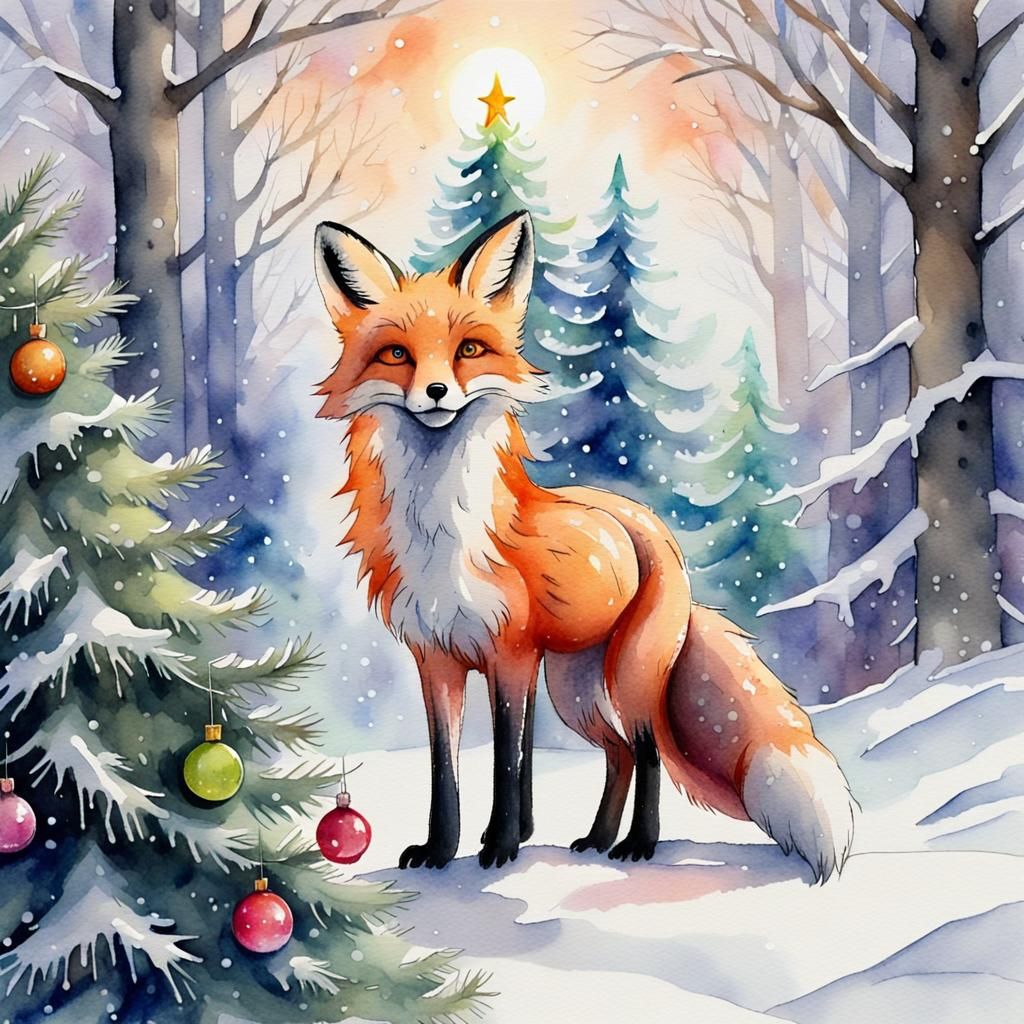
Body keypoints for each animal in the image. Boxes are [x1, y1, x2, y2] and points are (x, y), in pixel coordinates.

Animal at [313, 209, 855, 879]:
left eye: (468, 350)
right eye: (396, 355)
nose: (436, 392)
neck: (443, 535)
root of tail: (648, 522)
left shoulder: (511, 655)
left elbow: (507, 760)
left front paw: (501, 846)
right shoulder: (436, 658)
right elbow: (446, 768)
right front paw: (443, 849)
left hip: (629, 675)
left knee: (646, 751)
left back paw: (637, 845)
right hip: (573, 688)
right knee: (617, 753)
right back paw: (596, 838)